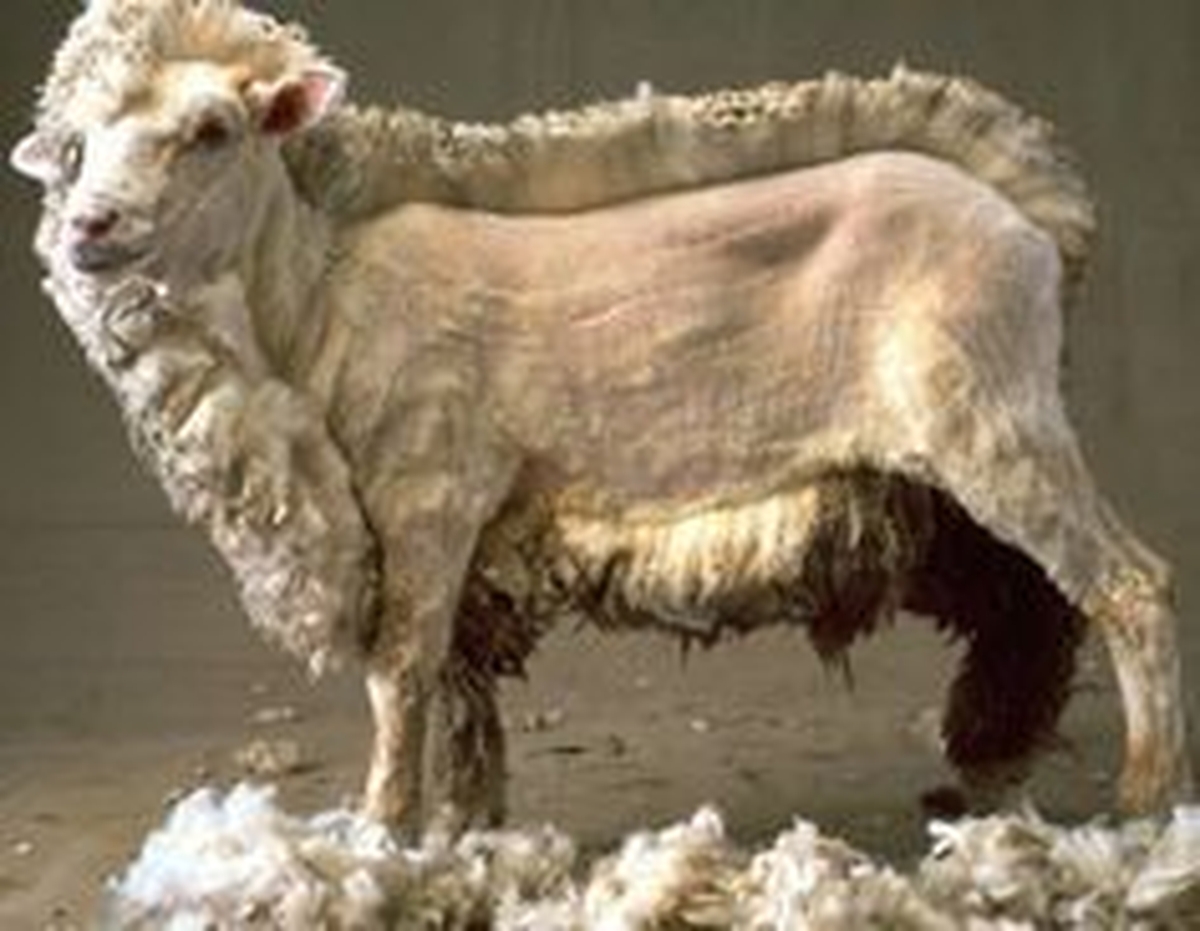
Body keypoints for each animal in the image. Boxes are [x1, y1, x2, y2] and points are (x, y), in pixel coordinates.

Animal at [11, 0, 1192, 837]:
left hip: (993, 415)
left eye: (212, 129)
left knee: (1132, 586)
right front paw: (466, 820)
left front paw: (384, 830)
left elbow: (400, 669)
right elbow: (457, 677)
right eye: (74, 147)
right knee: (1041, 597)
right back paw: (994, 768)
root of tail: (1033, 228)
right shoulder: (469, 526)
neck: (316, 297)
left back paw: (1146, 797)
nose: (89, 227)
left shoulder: (430, 488)